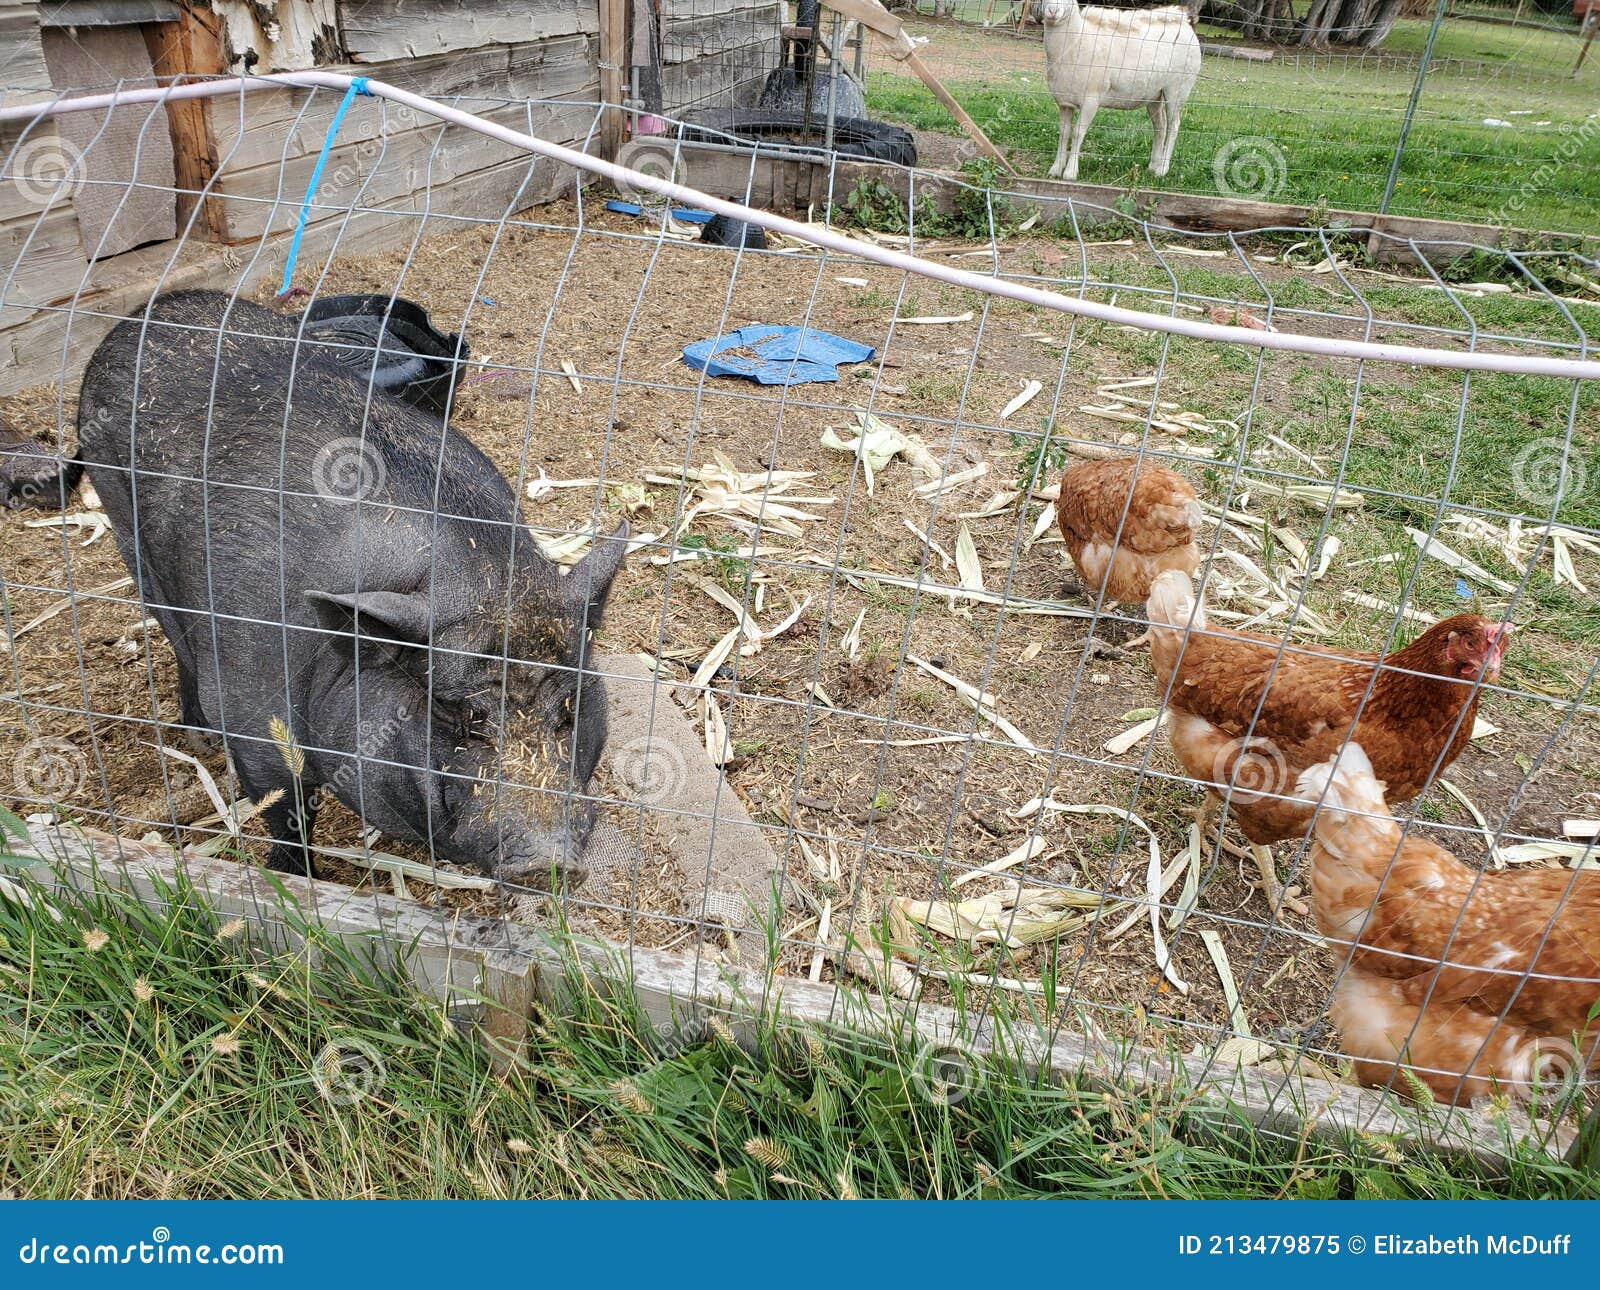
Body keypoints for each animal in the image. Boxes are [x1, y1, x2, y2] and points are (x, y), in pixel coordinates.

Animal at [75, 288, 625, 887]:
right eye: (456, 714)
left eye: (570, 708)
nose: (548, 861)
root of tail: (136, 318)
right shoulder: (254, 718)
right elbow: (286, 810)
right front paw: (296, 881)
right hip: (125, 526)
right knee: (174, 633)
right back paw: (198, 736)